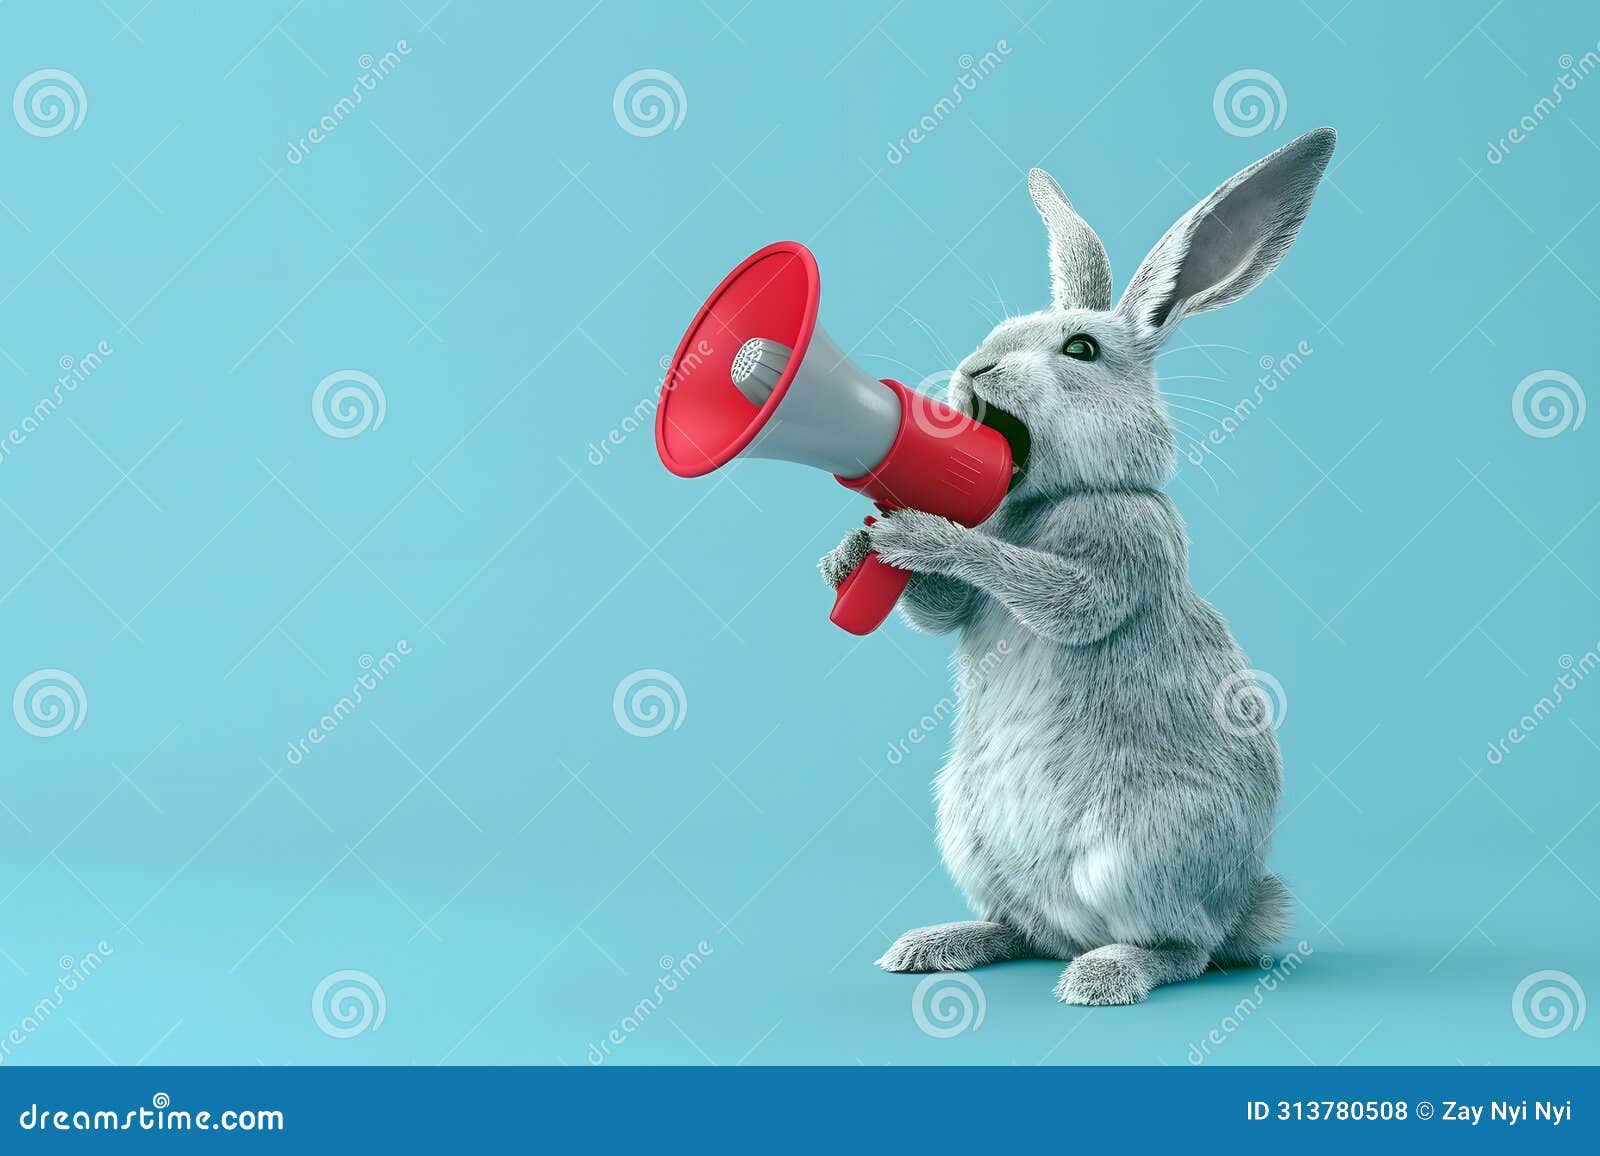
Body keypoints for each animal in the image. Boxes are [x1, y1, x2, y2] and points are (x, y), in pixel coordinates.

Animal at [819, 127, 1335, 1005]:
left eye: (1082, 349)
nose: (975, 367)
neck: (1049, 498)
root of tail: (1242, 908)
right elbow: (936, 610)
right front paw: (848, 554)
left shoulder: (1122, 556)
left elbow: (1058, 595)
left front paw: (923, 534)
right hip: (967, 832)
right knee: (1023, 930)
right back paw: (937, 944)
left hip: (1140, 856)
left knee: (1184, 950)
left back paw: (1105, 975)